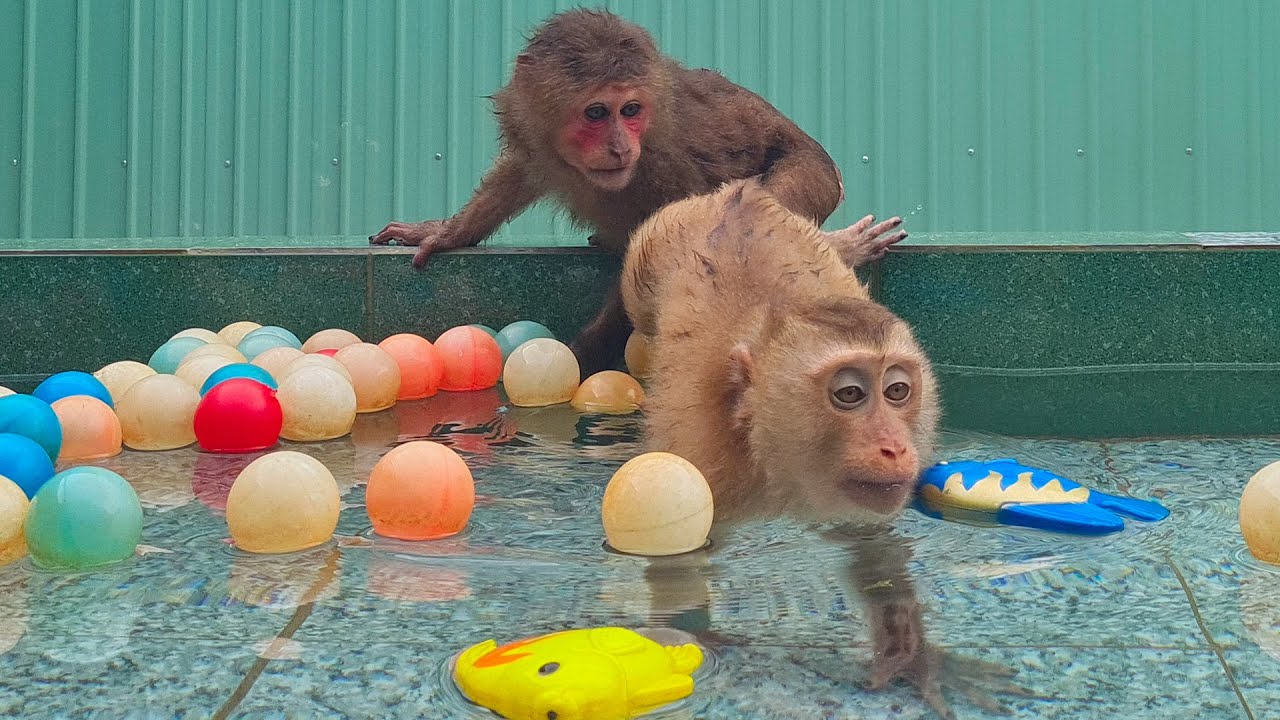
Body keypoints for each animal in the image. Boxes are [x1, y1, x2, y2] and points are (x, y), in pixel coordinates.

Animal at [369, 9, 907, 378]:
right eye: (596, 113)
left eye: (630, 110)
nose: (620, 145)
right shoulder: (532, 131)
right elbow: (518, 173)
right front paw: (445, 232)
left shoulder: (666, 164)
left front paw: (579, 358)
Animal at [618, 179, 1029, 717]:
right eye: (849, 394)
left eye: (898, 390)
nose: (894, 447)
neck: (773, 465)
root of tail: (736, 194)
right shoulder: (699, 462)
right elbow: (676, 561)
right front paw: (697, 650)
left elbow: (871, 543)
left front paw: (910, 655)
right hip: (648, 251)